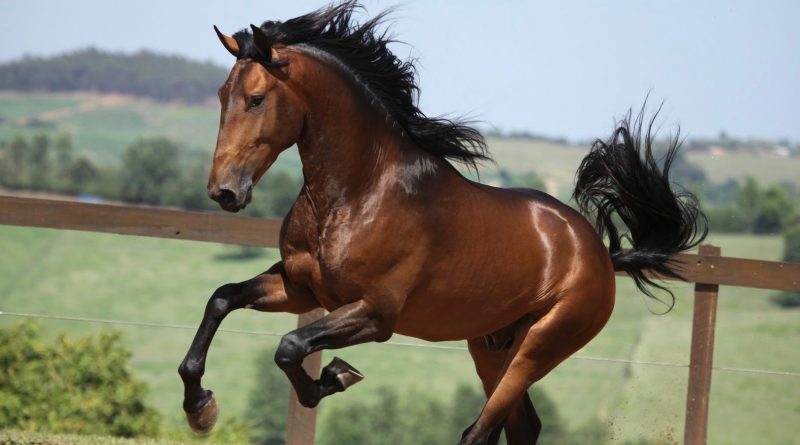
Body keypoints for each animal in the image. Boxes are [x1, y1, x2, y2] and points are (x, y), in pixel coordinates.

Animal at [177, 2, 706, 444]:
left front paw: (334, 377)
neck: (360, 192)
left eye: (256, 98)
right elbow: (221, 298)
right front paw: (200, 407)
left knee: (481, 431)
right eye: (222, 94)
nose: (224, 192)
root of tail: (598, 252)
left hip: (541, 345)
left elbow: (289, 347)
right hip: (490, 346)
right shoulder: (302, 289)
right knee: (521, 427)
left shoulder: (375, 313)